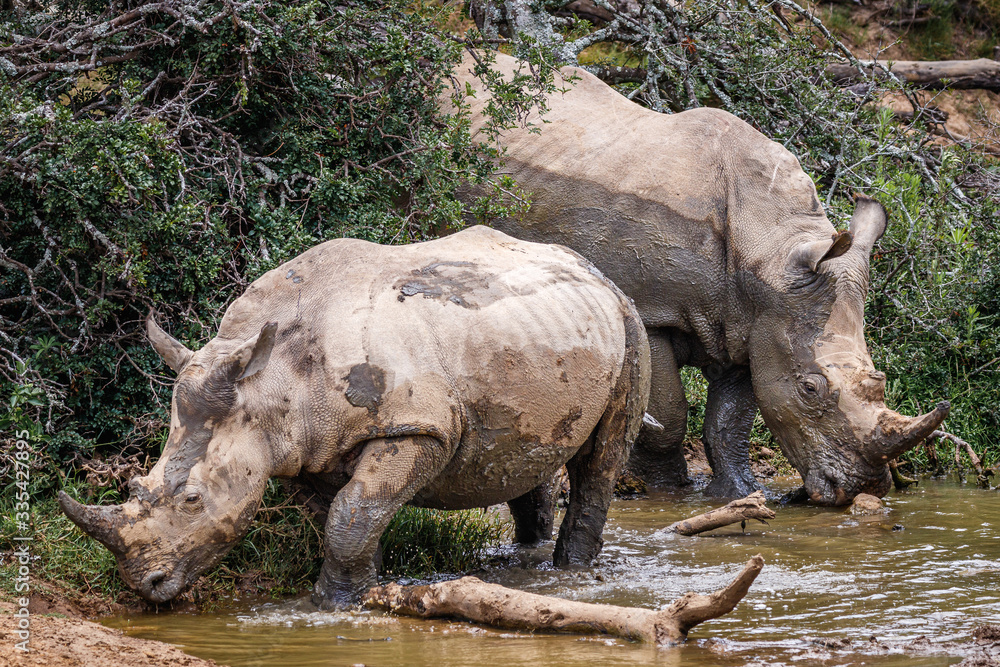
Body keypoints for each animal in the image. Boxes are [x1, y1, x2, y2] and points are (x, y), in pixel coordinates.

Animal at [59, 226, 650, 608]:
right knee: (526, 454)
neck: (270, 381)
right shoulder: (304, 449)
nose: (143, 585)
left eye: (192, 500)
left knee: (602, 458)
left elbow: (352, 512)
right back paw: (525, 559)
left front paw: (334, 604)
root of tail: (594, 270)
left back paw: (570, 571)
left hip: (630, 323)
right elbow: (344, 516)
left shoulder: (418, 427)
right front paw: (363, 586)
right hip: (539, 337)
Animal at [446, 52, 949, 504]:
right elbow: (669, 418)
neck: (770, 248)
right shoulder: (651, 311)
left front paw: (739, 495)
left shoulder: (755, 323)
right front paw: (665, 494)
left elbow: (729, 421)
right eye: (810, 389)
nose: (865, 487)